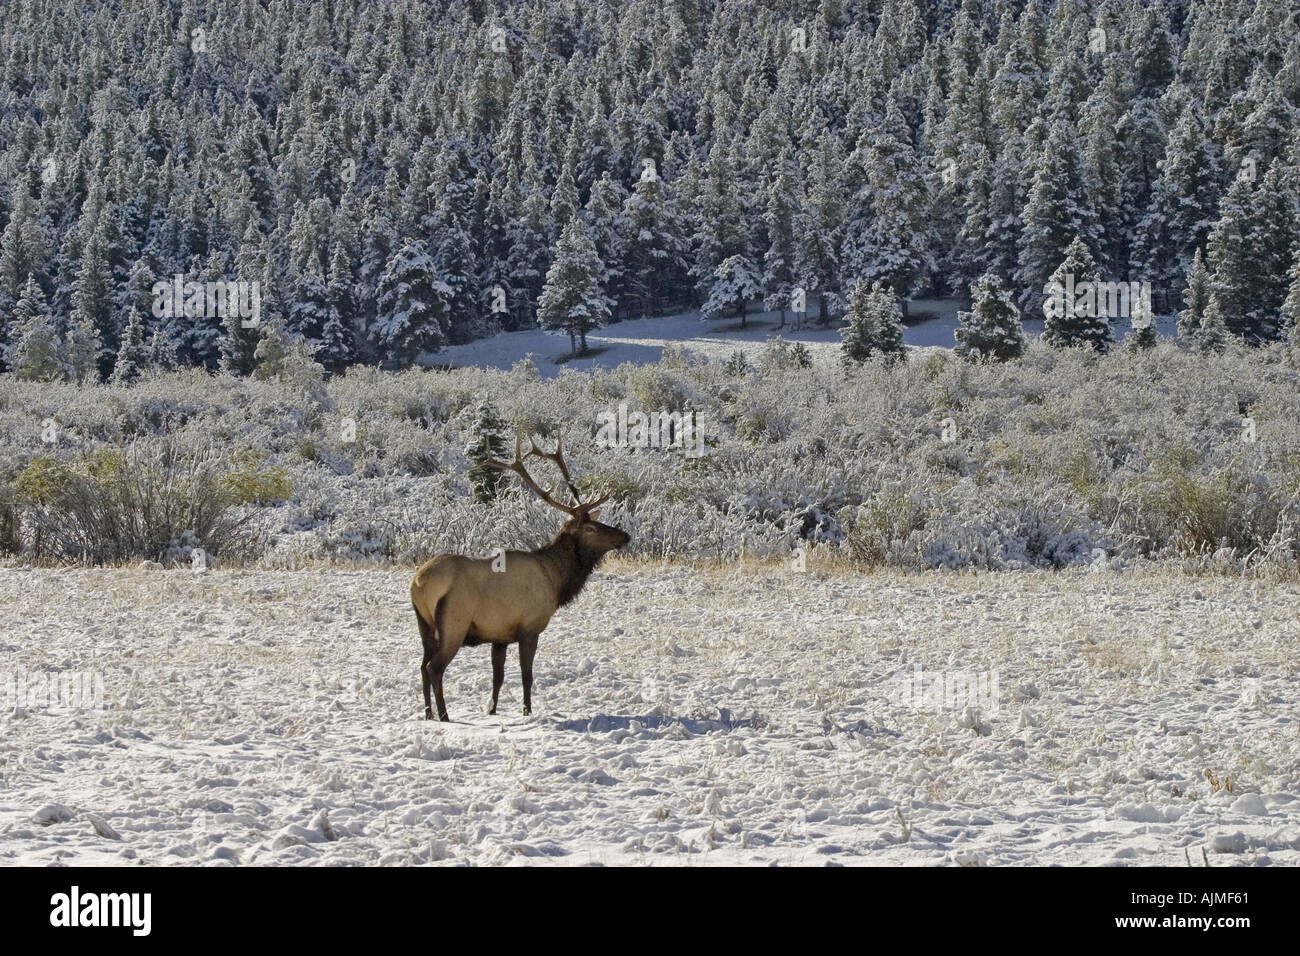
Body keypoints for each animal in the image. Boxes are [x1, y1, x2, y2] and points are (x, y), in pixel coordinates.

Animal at [410, 434, 630, 721]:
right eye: (592, 528)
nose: (625, 535)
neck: (556, 581)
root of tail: (419, 583)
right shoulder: (529, 627)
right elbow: (527, 675)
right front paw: (528, 711)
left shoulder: (500, 636)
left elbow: (498, 677)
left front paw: (491, 709)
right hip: (453, 624)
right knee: (434, 668)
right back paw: (445, 716)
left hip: (423, 624)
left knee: (422, 666)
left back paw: (427, 714)